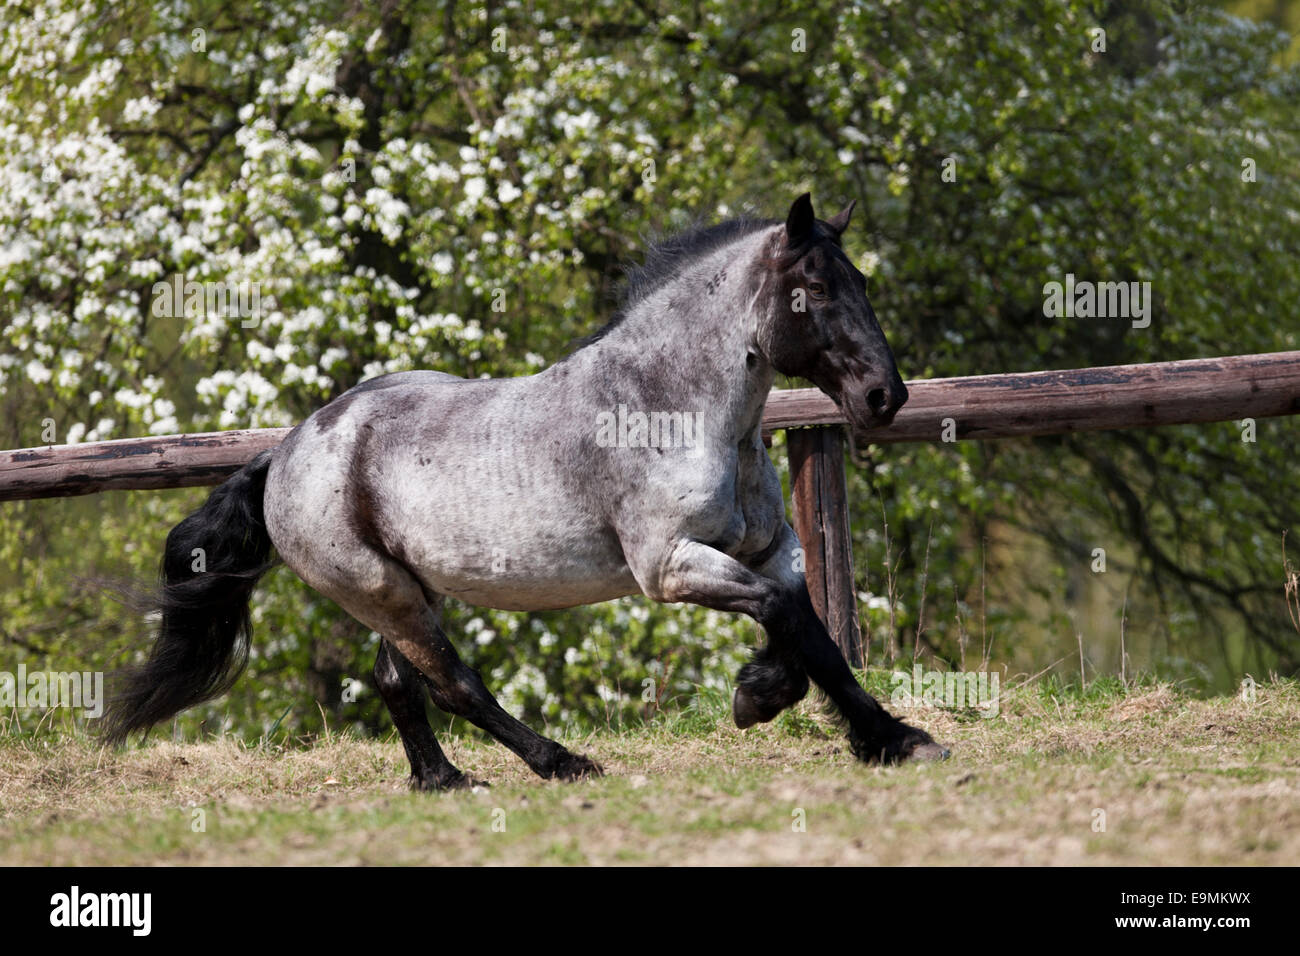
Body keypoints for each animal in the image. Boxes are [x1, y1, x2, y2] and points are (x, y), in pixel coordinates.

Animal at [104, 193, 948, 789]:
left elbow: (811, 632)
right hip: (380, 590)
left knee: (396, 679)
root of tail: (285, 452)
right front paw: (769, 701)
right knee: (454, 686)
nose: (884, 397)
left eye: (860, 280)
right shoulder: (667, 566)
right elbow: (783, 616)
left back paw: (443, 781)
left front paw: (880, 733)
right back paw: (560, 763)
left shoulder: (772, 548)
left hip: (398, 588)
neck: (672, 403)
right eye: (814, 288)